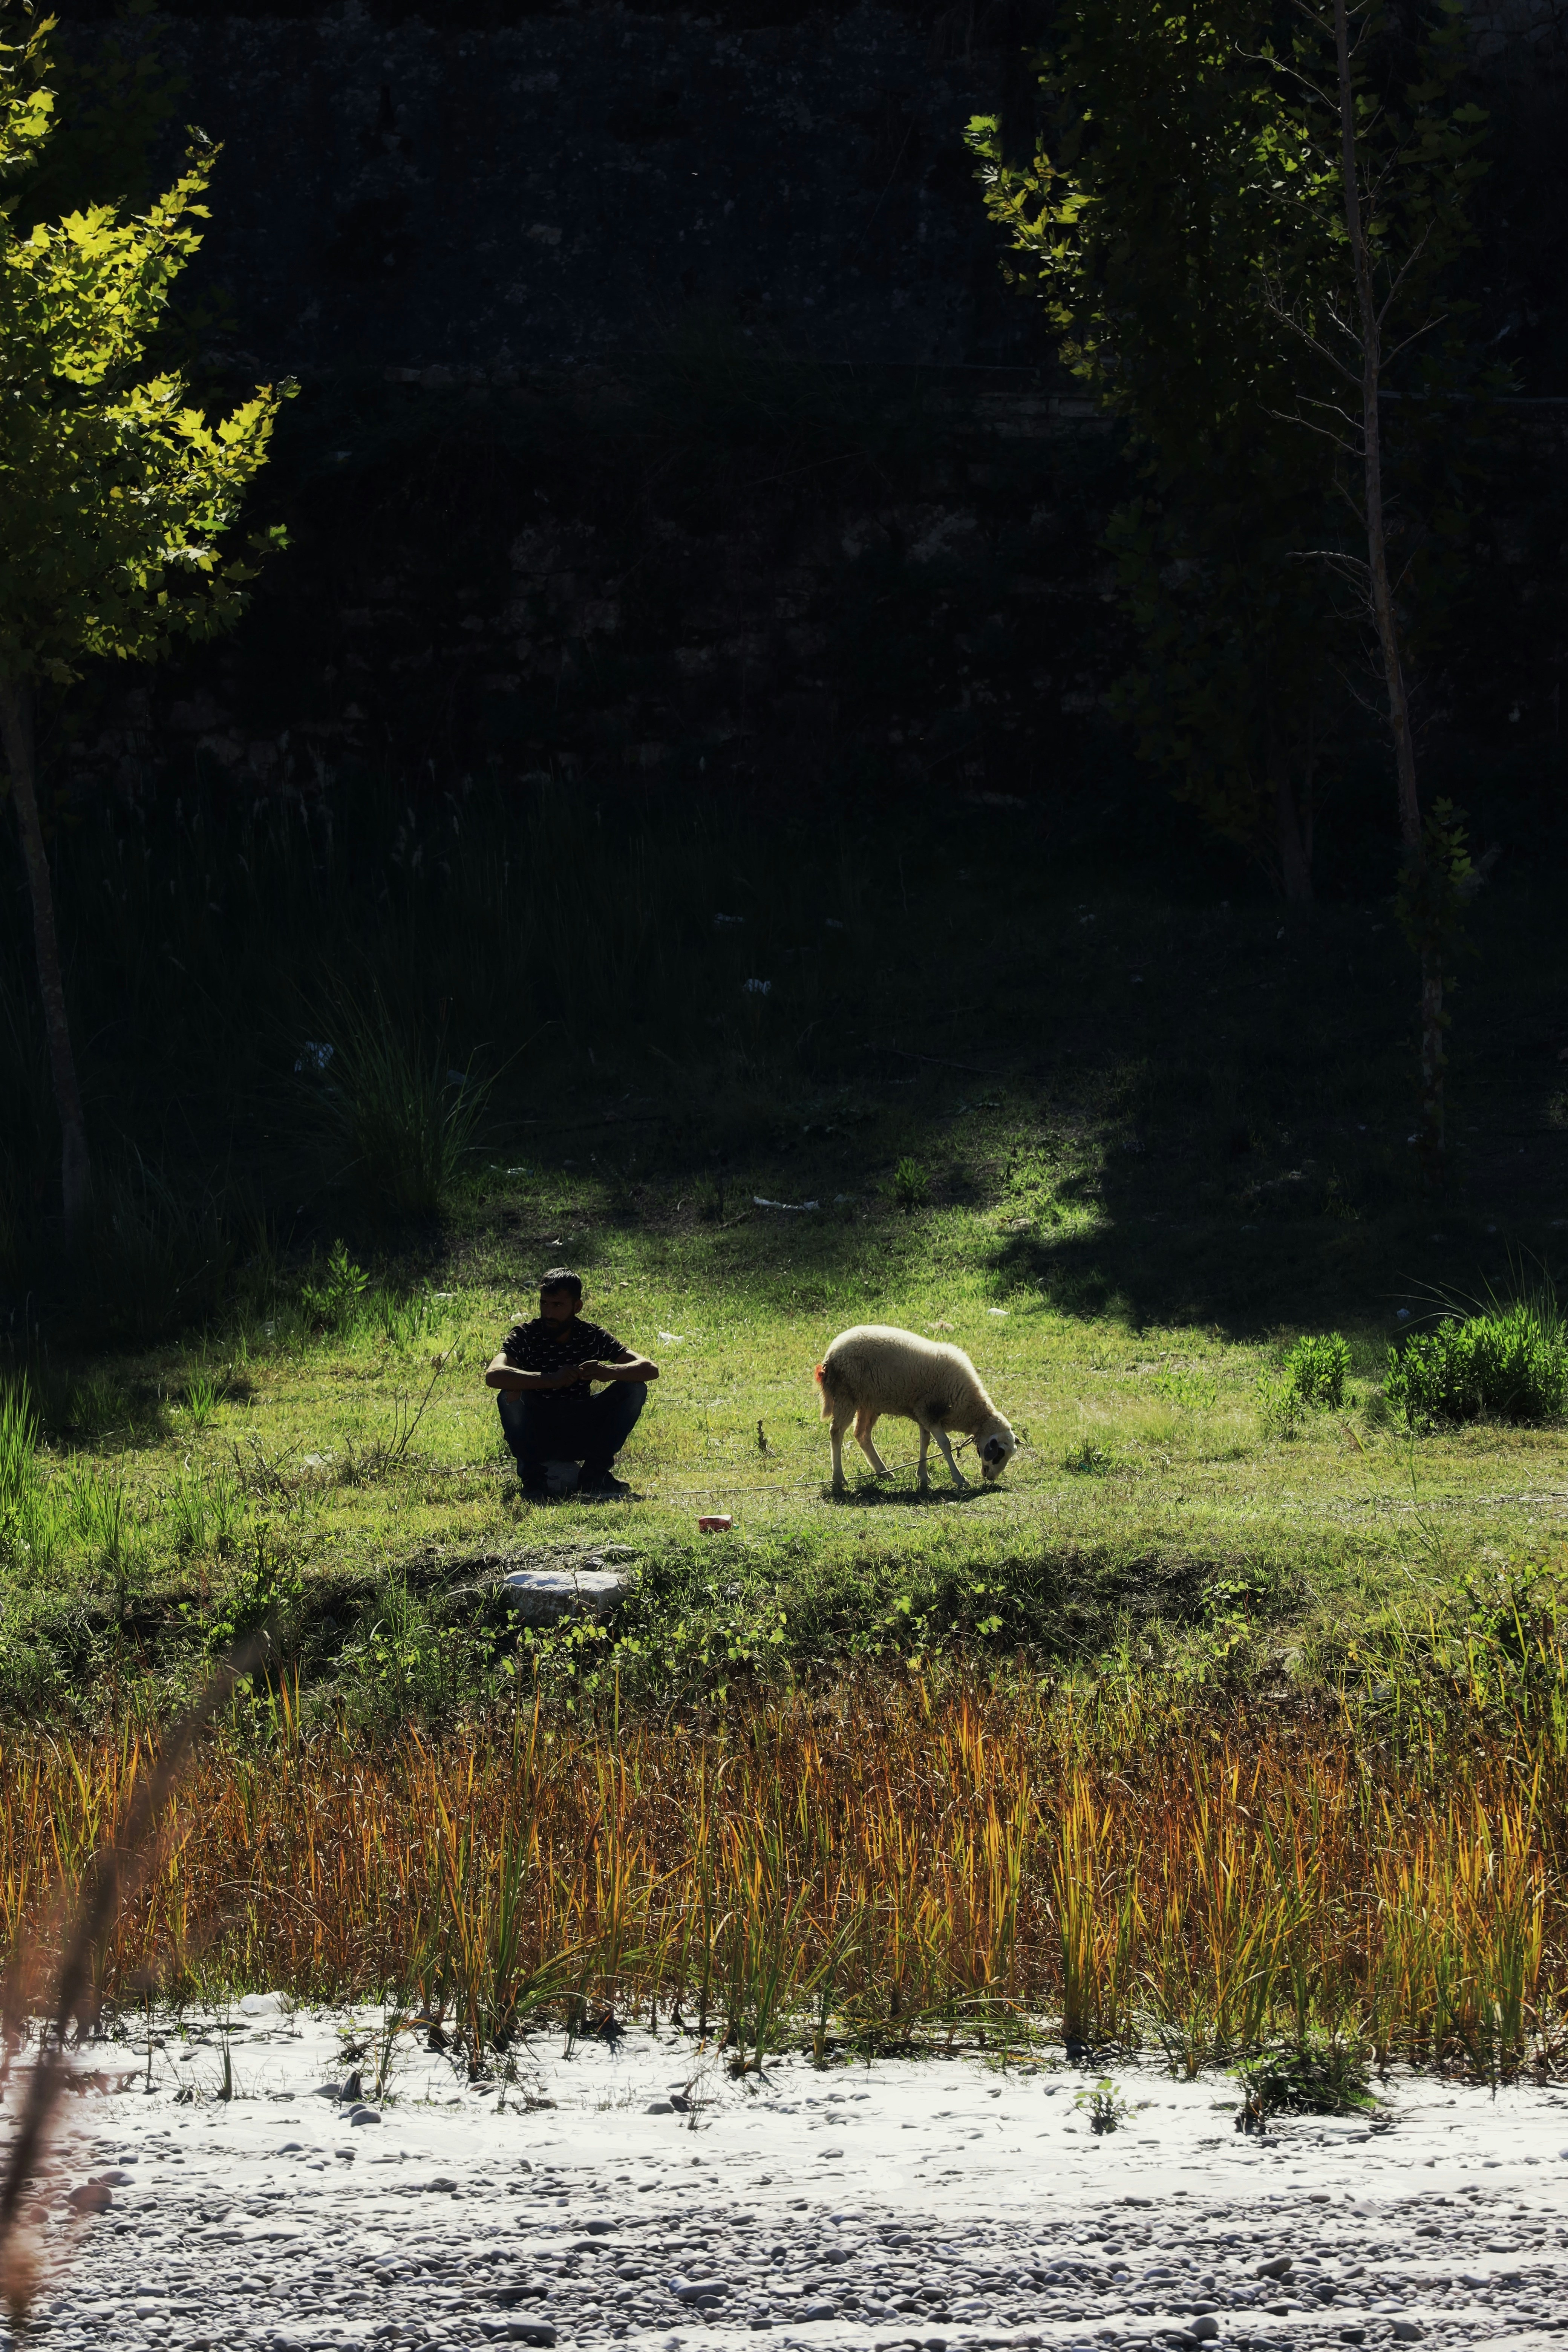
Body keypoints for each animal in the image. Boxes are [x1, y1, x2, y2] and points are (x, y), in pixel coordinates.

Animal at [814, 1323, 1018, 1495]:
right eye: (999, 1454)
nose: (991, 1478)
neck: (969, 1408)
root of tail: (831, 1354)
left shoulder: (924, 1413)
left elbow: (925, 1442)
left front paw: (923, 1477)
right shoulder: (930, 1413)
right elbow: (945, 1444)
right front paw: (959, 1479)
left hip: (869, 1402)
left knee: (862, 1435)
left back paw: (883, 1472)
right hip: (846, 1396)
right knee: (837, 1432)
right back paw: (839, 1478)